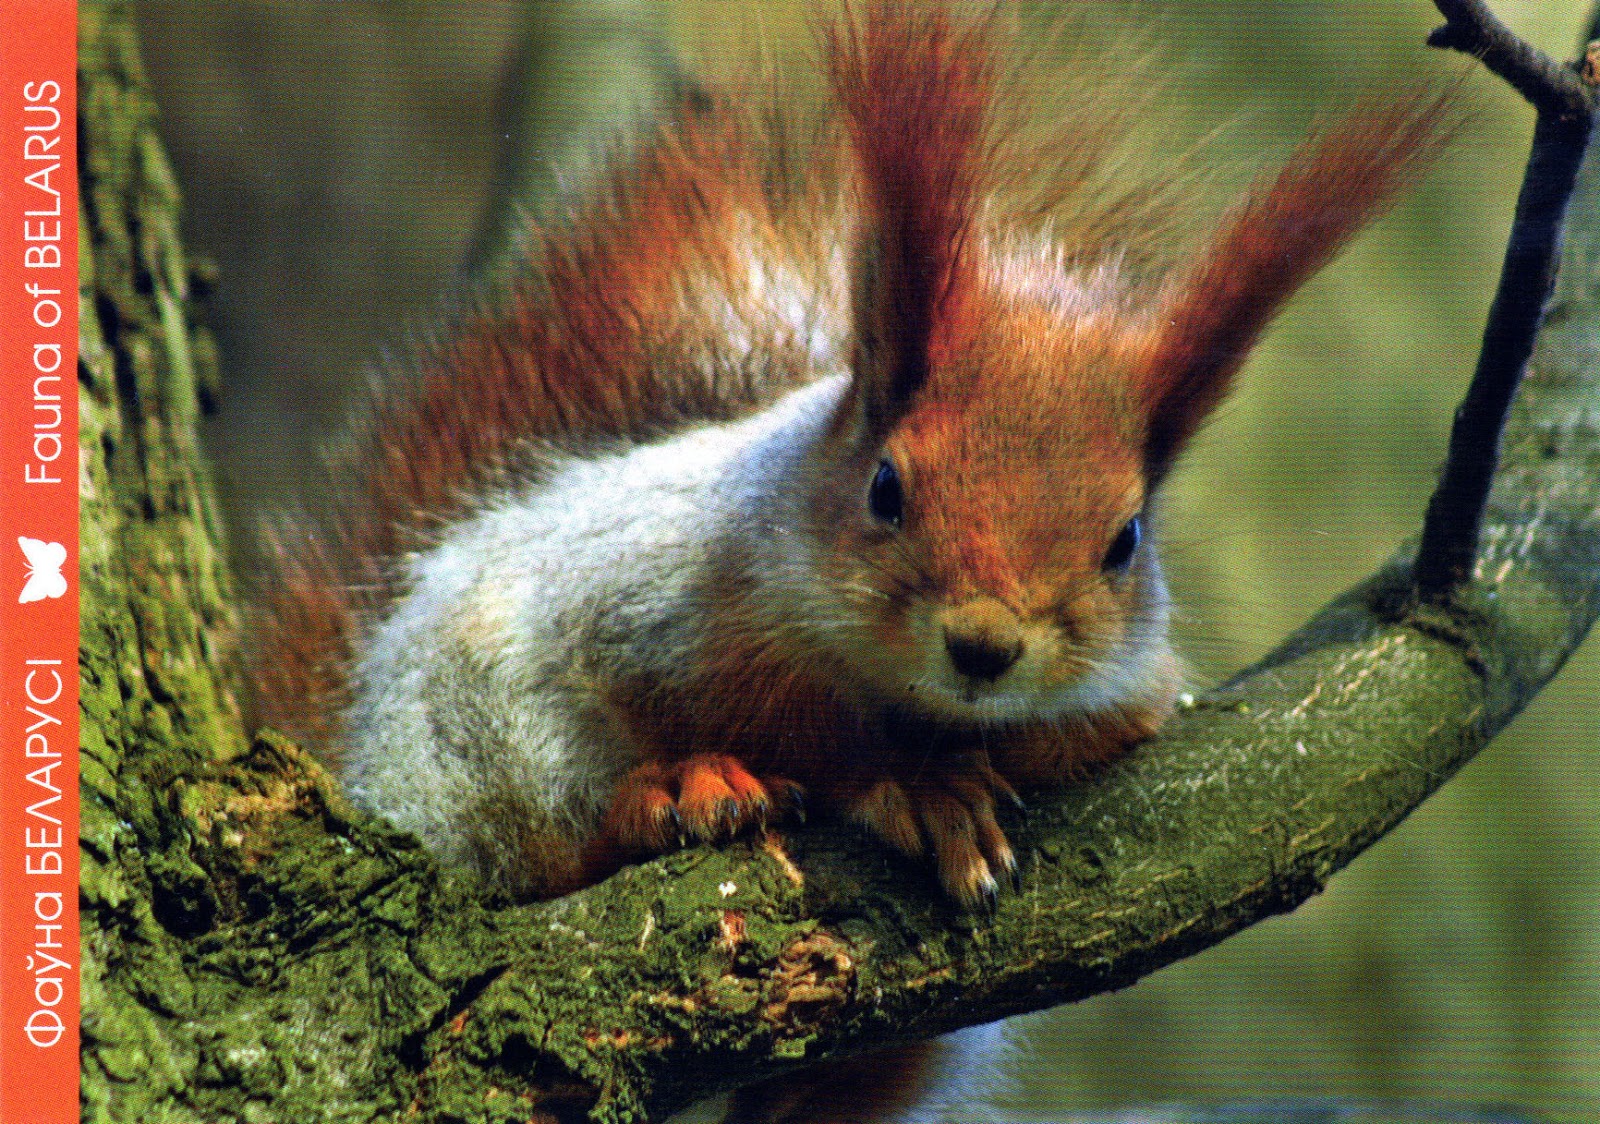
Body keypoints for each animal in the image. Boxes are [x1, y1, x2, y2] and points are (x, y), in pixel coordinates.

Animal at [250, 1, 1446, 912]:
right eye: (885, 487)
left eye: (1125, 541)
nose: (984, 646)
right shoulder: (635, 600)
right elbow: (797, 735)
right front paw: (907, 786)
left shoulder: (1121, 696)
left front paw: (958, 769)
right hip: (459, 742)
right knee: (532, 841)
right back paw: (673, 793)